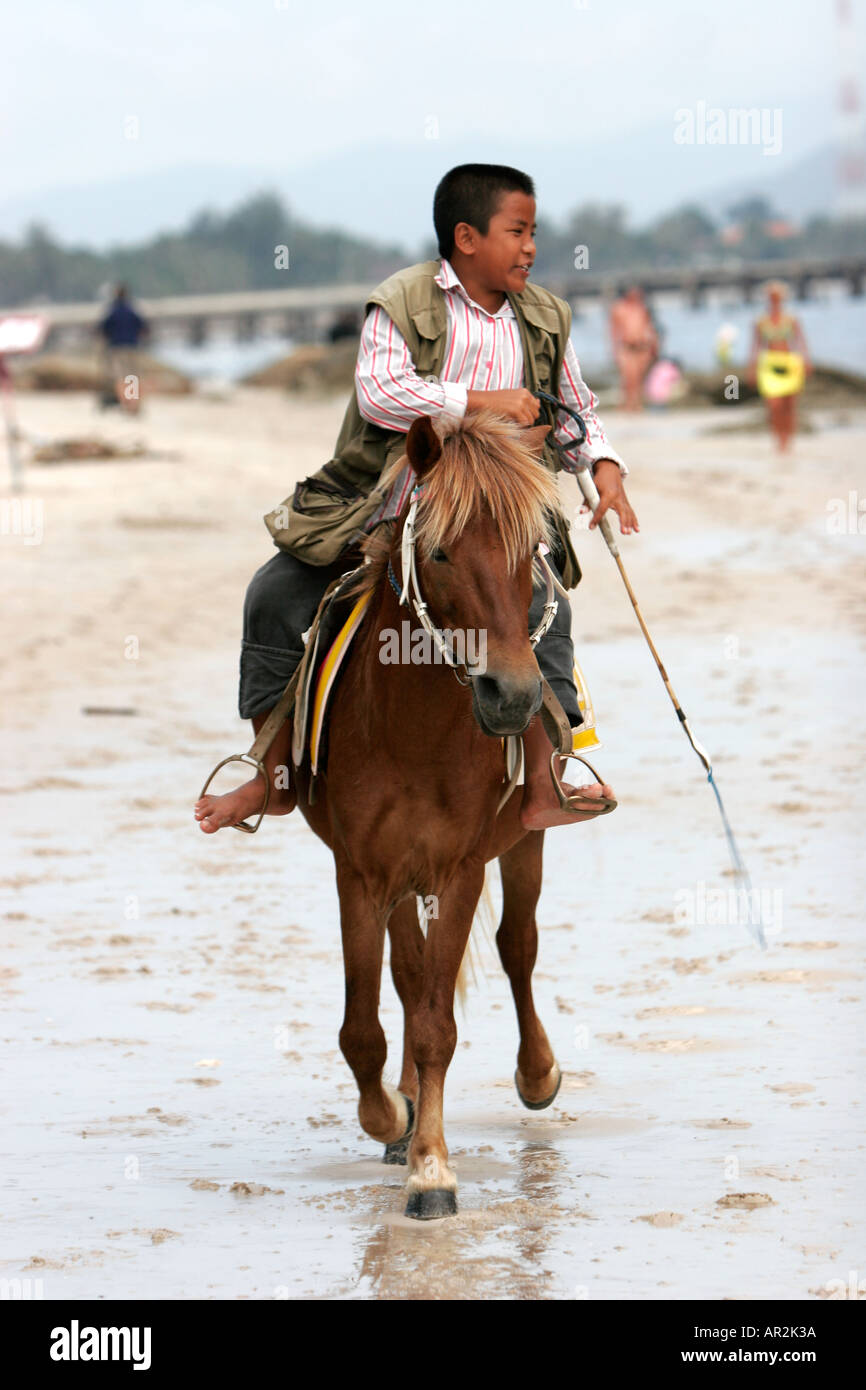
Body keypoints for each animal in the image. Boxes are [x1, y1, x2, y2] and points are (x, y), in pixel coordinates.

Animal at [294, 409, 576, 1220]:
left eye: (533, 554)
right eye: (442, 551)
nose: (512, 697)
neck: (412, 729)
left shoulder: (459, 870)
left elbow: (436, 1026)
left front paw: (431, 1171)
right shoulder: (360, 872)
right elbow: (367, 1026)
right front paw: (393, 1119)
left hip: (523, 842)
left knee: (517, 945)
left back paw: (537, 1073)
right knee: (408, 972)